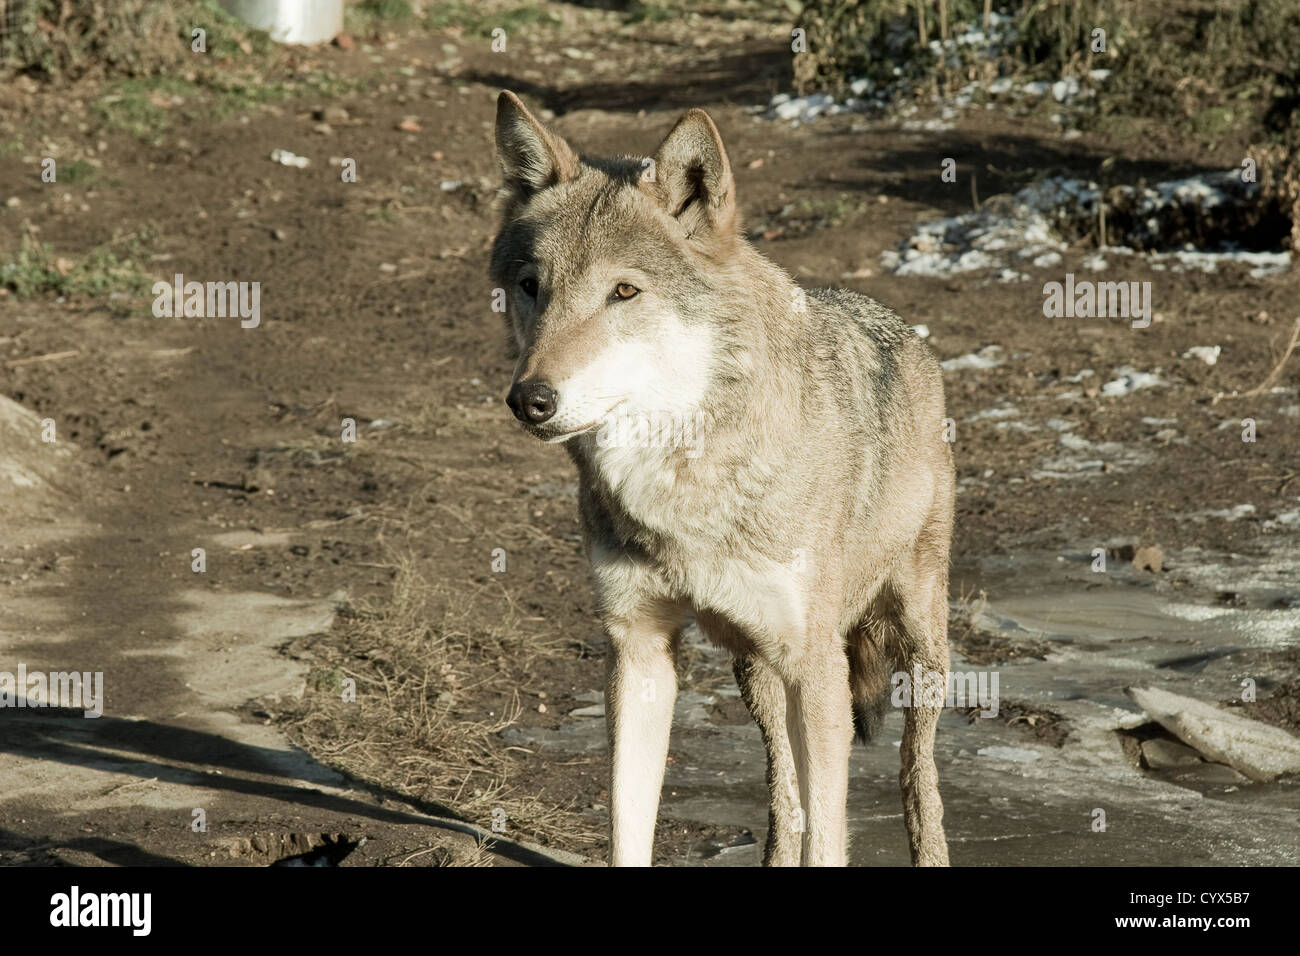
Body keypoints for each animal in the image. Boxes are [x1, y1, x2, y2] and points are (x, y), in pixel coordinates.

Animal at [489, 91, 954, 867]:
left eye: (624, 292)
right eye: (531, 288)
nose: (531, 400)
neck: (681, 482)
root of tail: (897, 322)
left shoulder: (816, 667)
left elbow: (832, 835)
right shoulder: (637, 650)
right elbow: (629, 830)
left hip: (912, 645)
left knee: (918, 785)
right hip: (756, 672)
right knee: (785, 799)